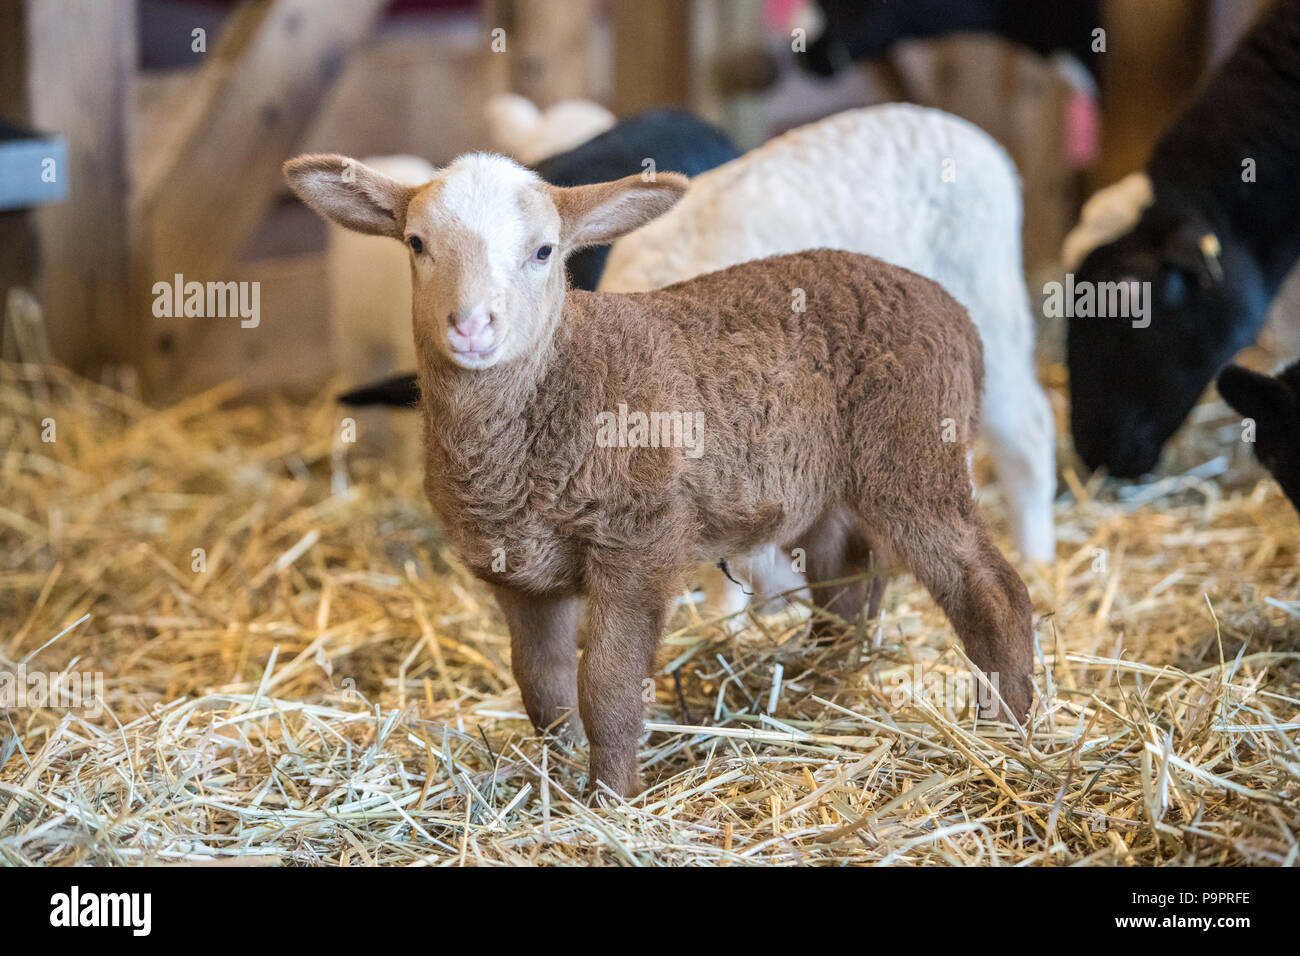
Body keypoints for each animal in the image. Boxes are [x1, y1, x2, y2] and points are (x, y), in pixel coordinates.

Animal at [284, 151, 1038, 796]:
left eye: (544, 251)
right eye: (416, 243)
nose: (471, 327)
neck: (558, 379)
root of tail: (953, 313)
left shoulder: (639, 541)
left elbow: (609, 688)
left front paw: (611, 800)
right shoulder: (517, 571)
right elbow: (542, 687)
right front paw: (556, 775)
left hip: (914, 451)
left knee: (991, 589)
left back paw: (1008, 732)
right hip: (829, 484)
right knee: (848, 579)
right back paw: (826, 684)